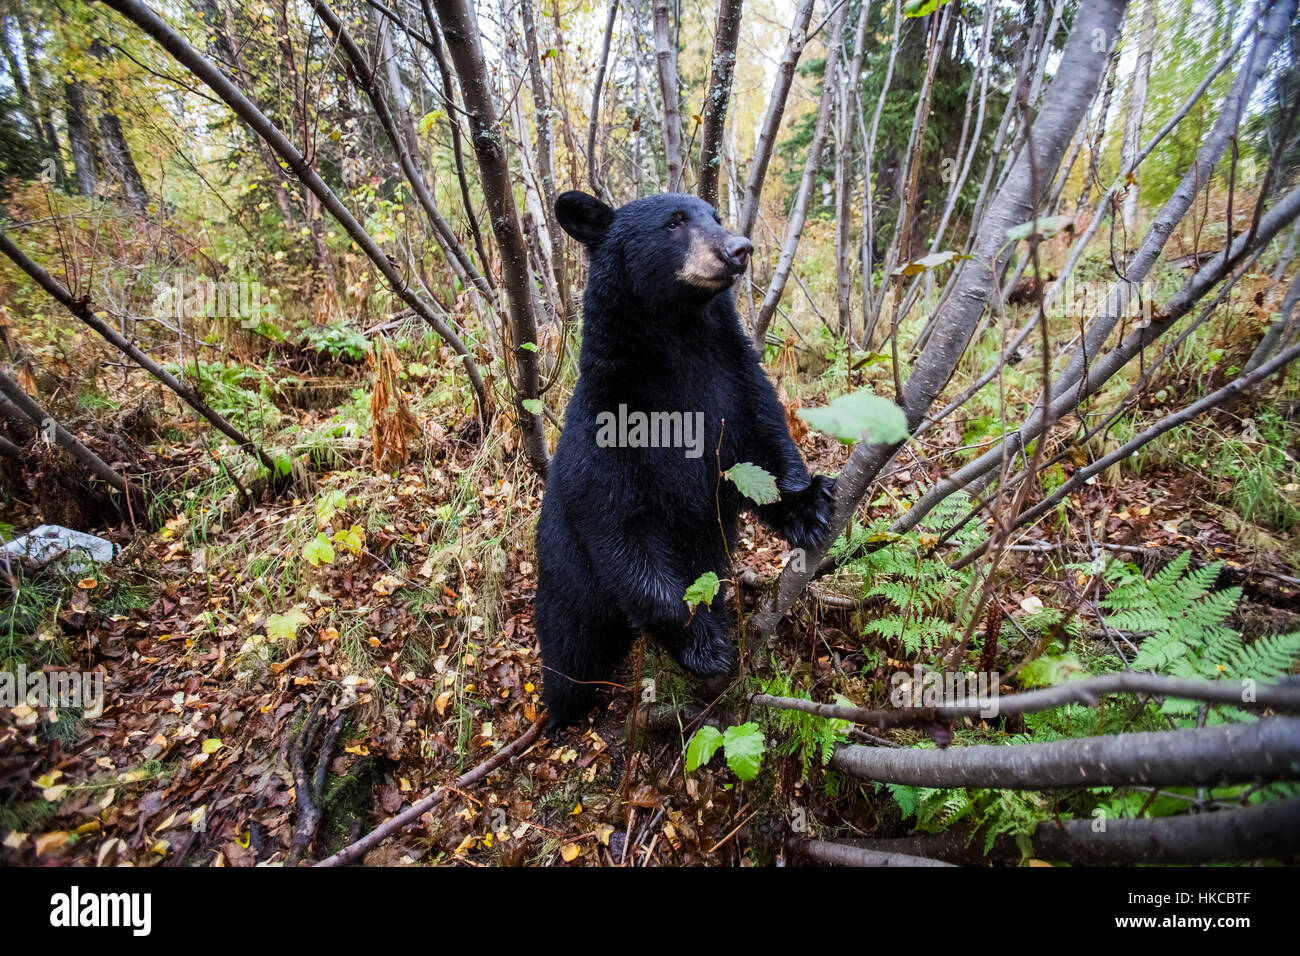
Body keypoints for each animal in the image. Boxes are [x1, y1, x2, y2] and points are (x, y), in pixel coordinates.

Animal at [534, 190, 836, 727]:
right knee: (568, 656)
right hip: (566, 590)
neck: (677, 345)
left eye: (714, 216)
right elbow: (621, 533)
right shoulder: (611, 431)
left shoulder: (732, 382)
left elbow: (764, 445)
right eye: (673, 223)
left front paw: (810, 504)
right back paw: (561, 715)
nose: (739, 248)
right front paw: (703, 646)